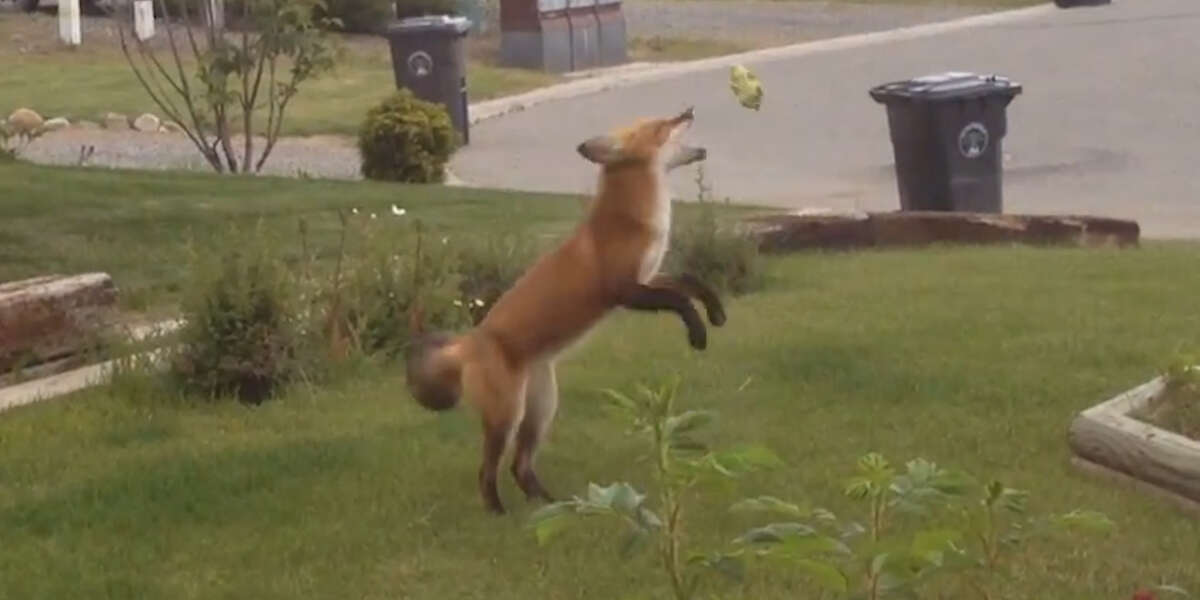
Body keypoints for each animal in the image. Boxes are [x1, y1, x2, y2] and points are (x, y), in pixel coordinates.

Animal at [405, 107, 726, 514]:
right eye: (661, 126)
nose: (688, 110)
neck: (634, 221)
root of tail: (469, 343)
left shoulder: (651, 275)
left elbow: (690, 282)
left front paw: (715, 313)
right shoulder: (623, 290)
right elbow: (680, 301)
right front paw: (697, 332)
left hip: (542, 409)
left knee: (520, 466)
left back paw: (554, 507)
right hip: (507, 417)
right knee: (487, 471)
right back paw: (500, 514)